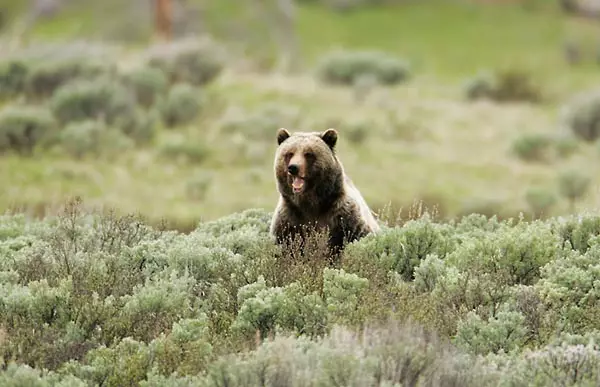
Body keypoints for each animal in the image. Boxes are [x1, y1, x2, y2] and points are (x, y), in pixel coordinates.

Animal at [270, 129, 380, 260]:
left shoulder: (343, 218)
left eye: (308, 154)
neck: (311, 204)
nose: (293, 168)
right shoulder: (289, 220)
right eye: (289, 153)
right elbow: (286, 246)